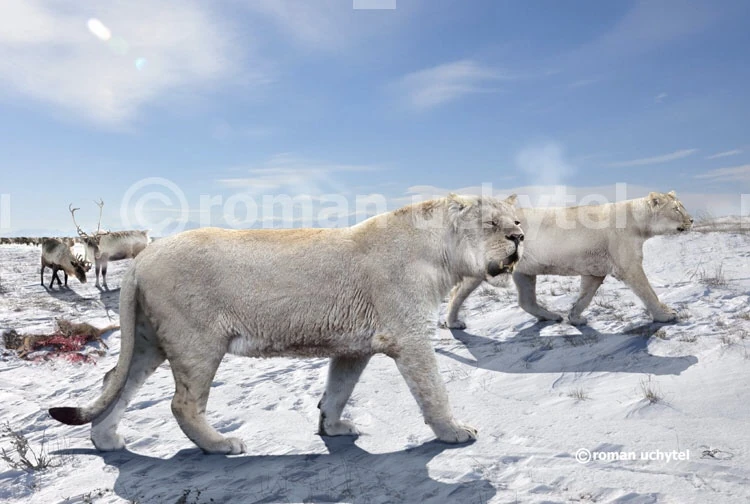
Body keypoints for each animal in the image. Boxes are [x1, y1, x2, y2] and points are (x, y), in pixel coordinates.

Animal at [49, 194, 524, 454]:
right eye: (492, 224)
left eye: (517, 221)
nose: (519, 238)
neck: (439, 250)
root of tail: (143, 257)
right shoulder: (409, 336)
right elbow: (433, 390)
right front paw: (454, 432)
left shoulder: (354, 347)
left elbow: (338, 391)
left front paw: (332, 427)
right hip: (197, 343)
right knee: (182, 404)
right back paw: (221, 445)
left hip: (149, 342)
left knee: (116, 382)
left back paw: (107, 439)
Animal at [445, 191, 692, 328]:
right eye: (677, 209)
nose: (691, 220)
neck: (639, 223)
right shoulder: (628, 266)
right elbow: (647, 291)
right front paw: (666, 315)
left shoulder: (594, 270)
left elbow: (586, 295)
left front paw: (575, 317)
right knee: (456, 293)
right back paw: (453, 323)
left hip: (526, 270)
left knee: (526, 300)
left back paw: (552, 316)